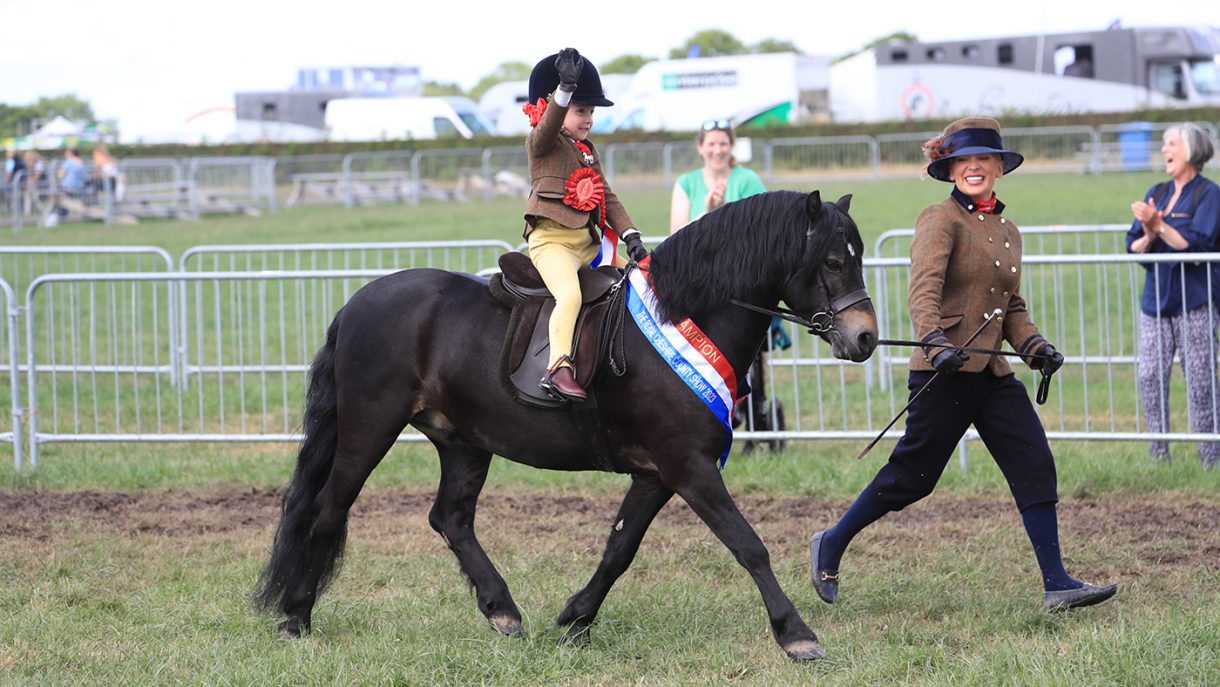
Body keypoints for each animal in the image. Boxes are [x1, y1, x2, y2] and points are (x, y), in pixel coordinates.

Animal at [253, 189, 878, 661]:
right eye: (831, 261)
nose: (866, 337)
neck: (684, 314)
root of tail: (358, 301)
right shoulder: (690, 468)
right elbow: (749, 545)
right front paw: (796, 634)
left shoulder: (656, 474)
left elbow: (619, 550)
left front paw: (576, 620)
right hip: (369, 429)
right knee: (329, 511)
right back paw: (296, 618)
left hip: (464, 442)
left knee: (450, 518)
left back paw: (503, 611)